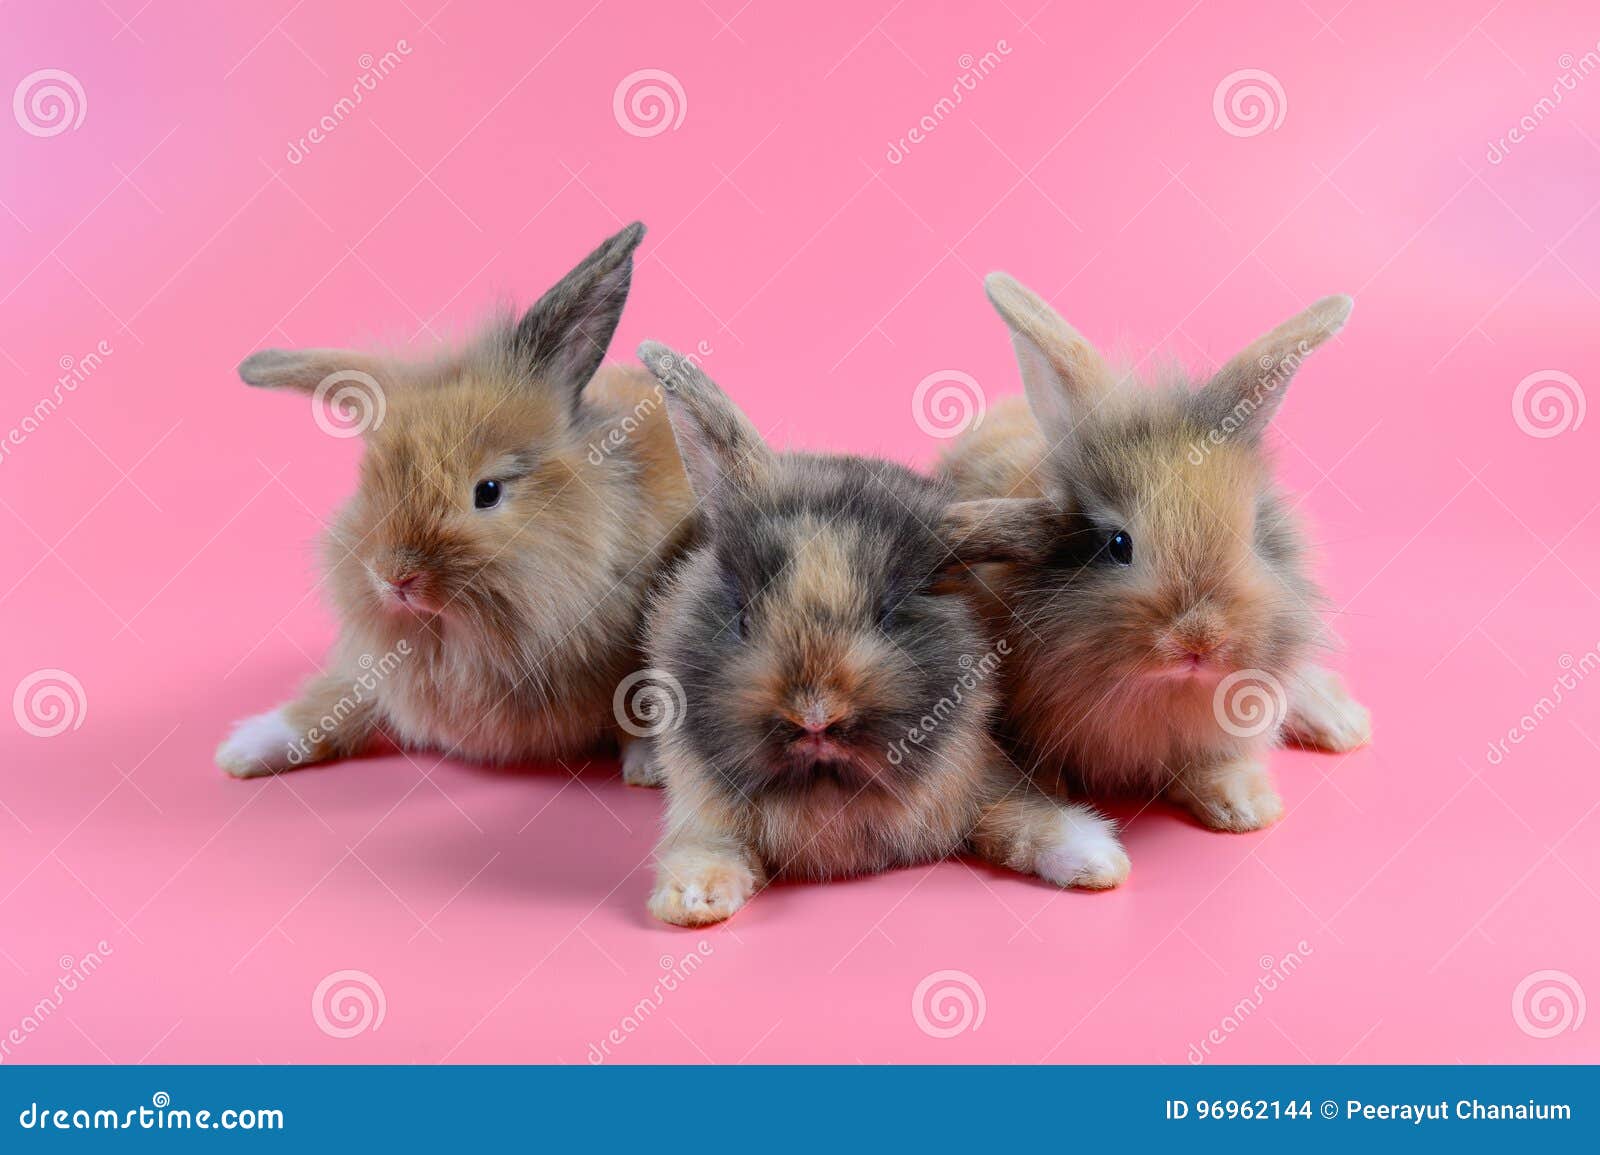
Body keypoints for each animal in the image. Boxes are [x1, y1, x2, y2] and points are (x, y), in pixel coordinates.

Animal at [215, 222, 695, 785]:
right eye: (369, 483)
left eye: (487, 492)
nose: (394, 579)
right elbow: (340, 697)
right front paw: (244, 750)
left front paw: (648, 769)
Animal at [633, 341, 1128, 927]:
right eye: (742, 618)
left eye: (888, 616)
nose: (815, 717)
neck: (825, 787)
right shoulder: (704, 815)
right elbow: (706, 849)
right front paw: (693, 900)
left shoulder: (983, 780)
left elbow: (1024, 814)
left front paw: (1098, 860)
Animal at [936, 273, 1371, 833]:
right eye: (1118, 544)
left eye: (1255, 532)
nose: (1200, 640)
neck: (1163, 689)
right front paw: (1050, 795)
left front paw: (1245, 809)